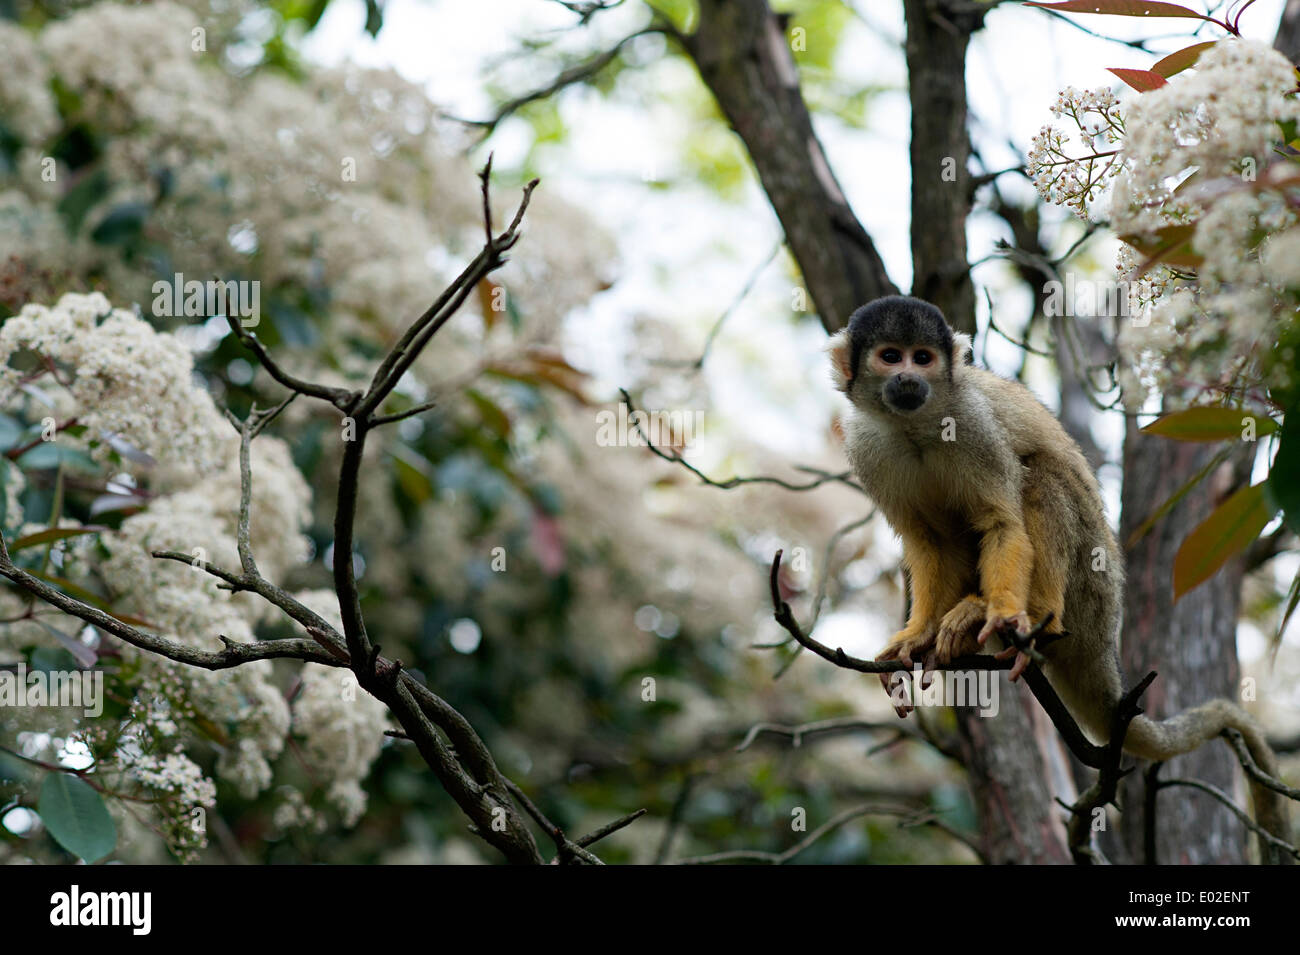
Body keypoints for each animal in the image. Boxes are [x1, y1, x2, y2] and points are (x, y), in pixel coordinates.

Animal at [827, 295, 1290, 861]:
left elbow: (1003, 521)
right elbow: (928, 543)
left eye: (923, 358)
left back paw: (1025, 621)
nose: (910, 379)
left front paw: (1001, 611)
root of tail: (1106, 643)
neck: (915, 425)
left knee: (1042, 474)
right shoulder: (867, 445)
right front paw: (916, 636)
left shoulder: (972, 423)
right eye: (891, 356)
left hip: (1095, 589)